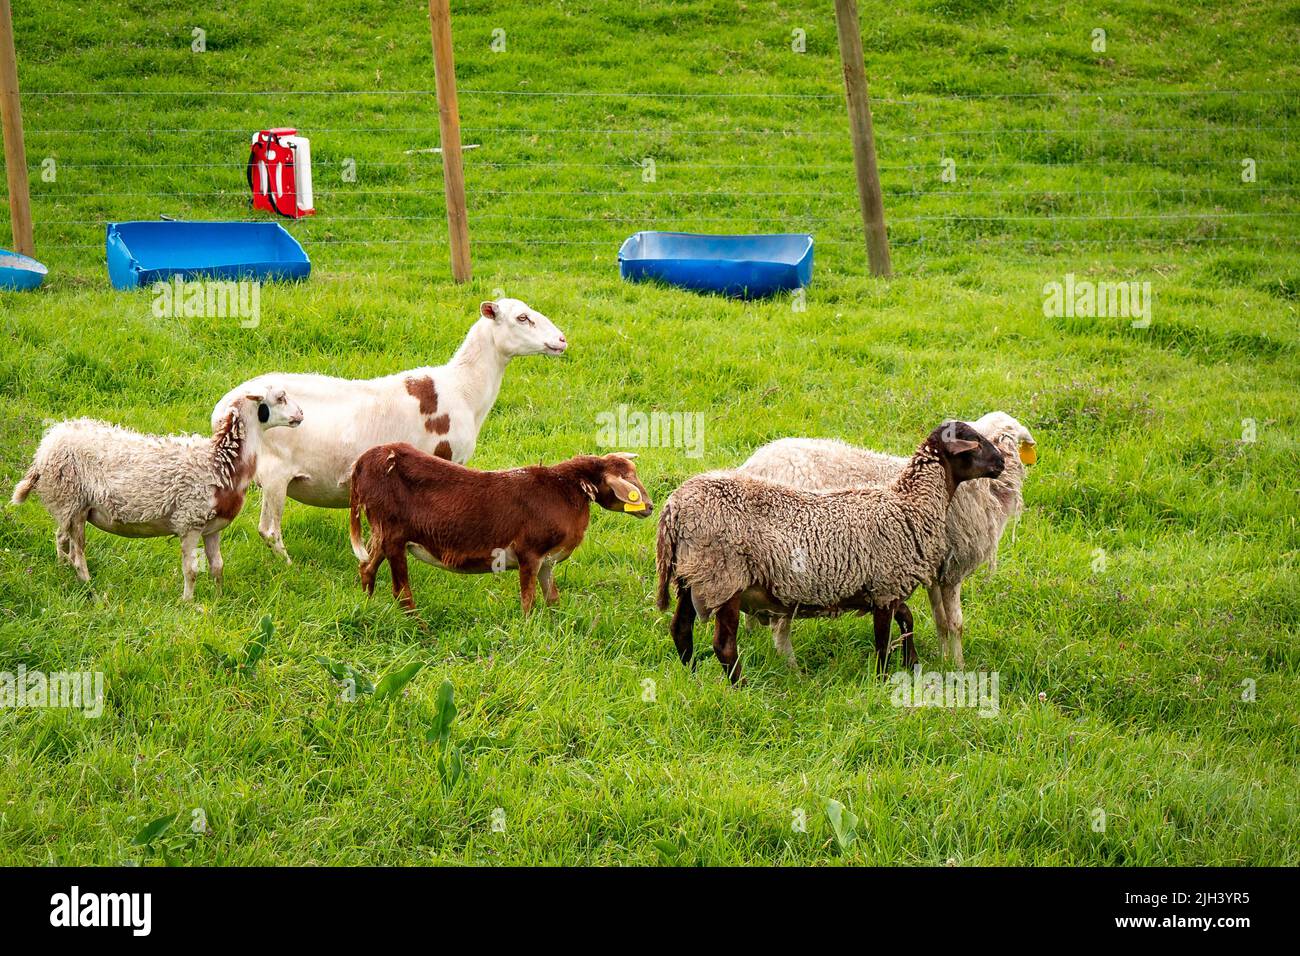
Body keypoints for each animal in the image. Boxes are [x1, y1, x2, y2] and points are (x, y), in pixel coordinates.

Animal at [11, 388, 303, 599]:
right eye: (280, 398)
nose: (300, 415)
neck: (221, 461)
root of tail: (45, 447)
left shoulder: (213, 527)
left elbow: (217, 566)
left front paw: (219, 599)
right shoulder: (189, 521)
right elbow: (191, 570)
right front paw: (188, 603)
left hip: (66, 505)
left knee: (61, 539)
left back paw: (63, 573)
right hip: (73, 501)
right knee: (77, 553)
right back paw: (88, 586)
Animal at [211, 297, 567, 563]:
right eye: (523, 318)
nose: (562, 340)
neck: (464, 389)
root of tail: (224, 407)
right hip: (275, 474)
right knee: (269, 530)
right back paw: (288, 566)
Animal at [349, 446, 652, 614]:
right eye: (627, 481)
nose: (649, 506)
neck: (564, 489)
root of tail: (364, 461)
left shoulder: (547, 560)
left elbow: (552, 598)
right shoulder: (530, 552)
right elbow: (528, 599)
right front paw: (528, 628)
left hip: (384, 534)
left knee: (367, 567)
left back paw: (367, 603)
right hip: (393, 533)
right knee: (402, 593)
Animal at [655, 421, 1005, 684]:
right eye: (974, 442)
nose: (1001, 462)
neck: (910, 503)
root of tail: (674, 506)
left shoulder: (883, 587)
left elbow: (906, 618)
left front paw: (912, 662)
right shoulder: (885, 584)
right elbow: (882, 642)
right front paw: (881, 681)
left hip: (692, 575)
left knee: (681, 630)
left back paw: (693, 676)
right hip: (724, 578)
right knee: (724, 646)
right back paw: (741, 687)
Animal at [739, 411, 1037, 667]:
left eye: (1012, 438)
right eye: (991, 439)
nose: (1002, 462)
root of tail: (754, 465)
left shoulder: (932, 567)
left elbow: (940, 620)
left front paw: (942, 660)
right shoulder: (952, 569)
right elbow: (956, 623)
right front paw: (959, 665)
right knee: (781, 624)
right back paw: (788, 664)